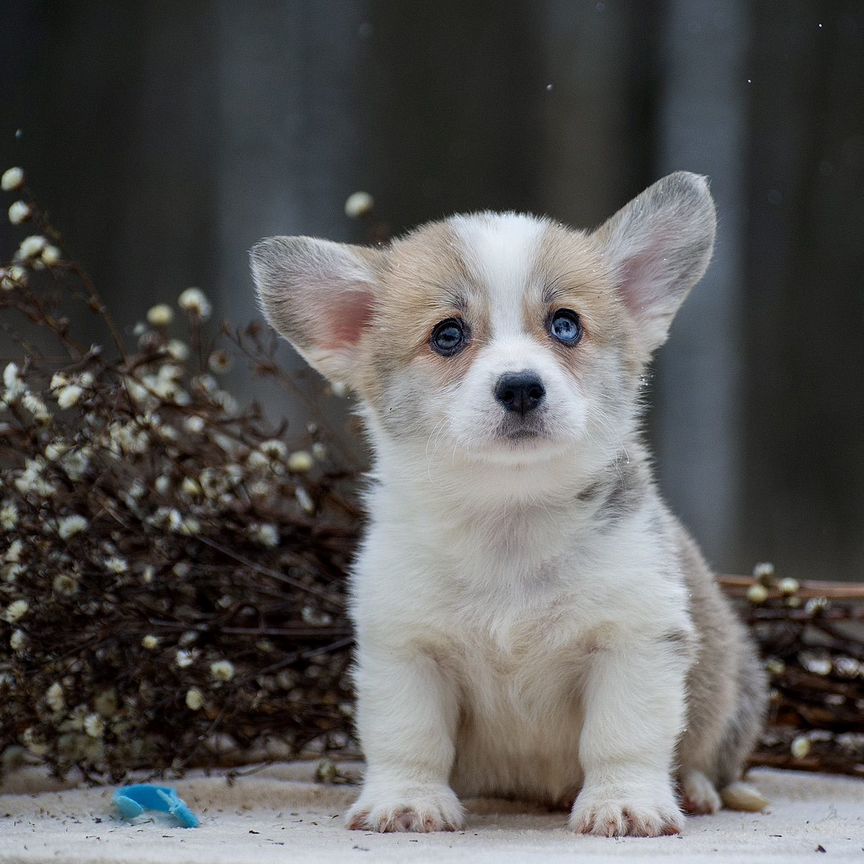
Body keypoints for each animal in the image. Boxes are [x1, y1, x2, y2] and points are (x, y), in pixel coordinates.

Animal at [251, 172, 768, 840]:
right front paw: (407, 802)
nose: (521, 387)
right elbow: (407, 736)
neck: (510, 516)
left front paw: (624, 804)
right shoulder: (406, 648)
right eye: (448, 335)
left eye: (566, 325)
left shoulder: (634, 639)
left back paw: (700, 789)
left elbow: (622, 736)